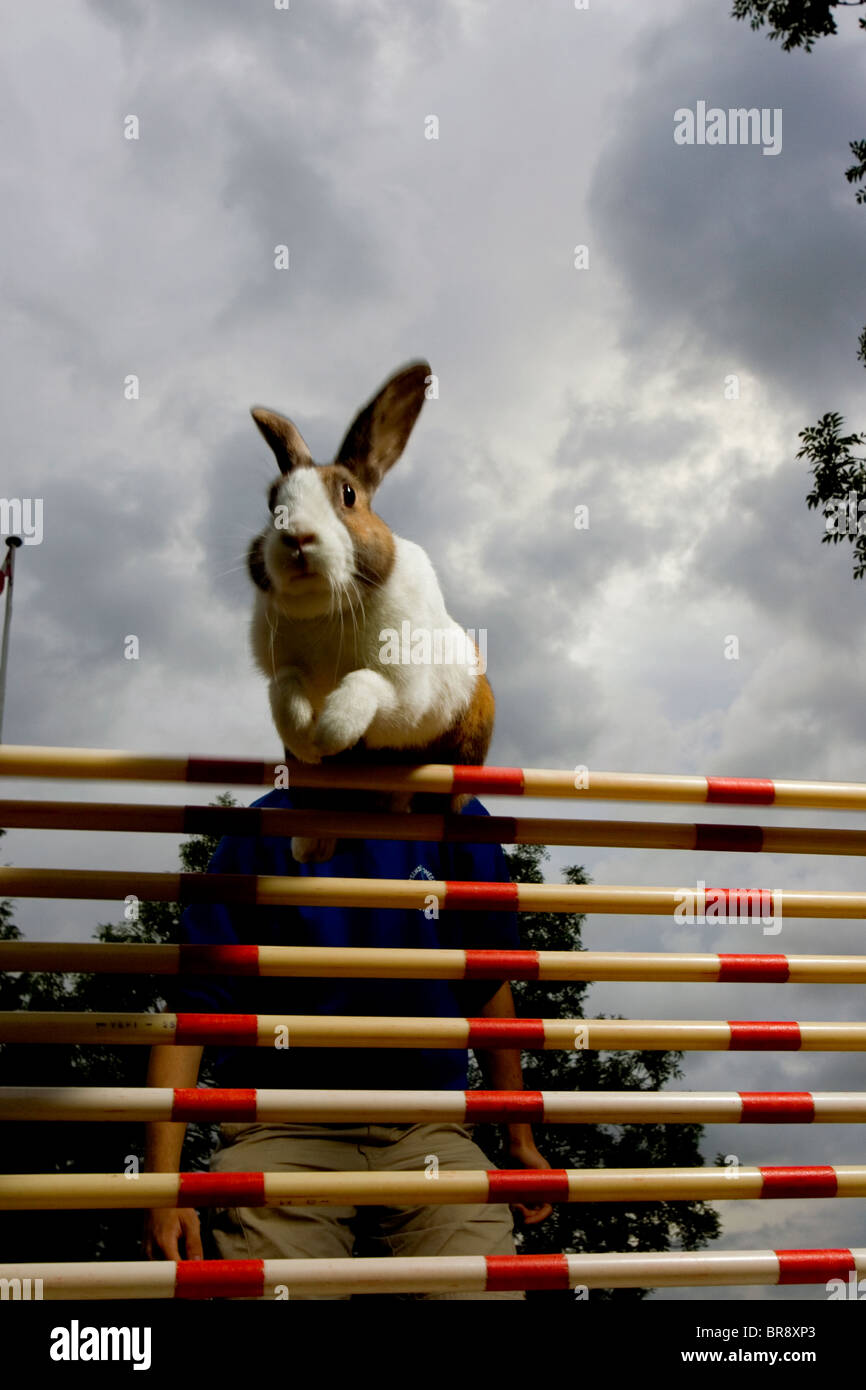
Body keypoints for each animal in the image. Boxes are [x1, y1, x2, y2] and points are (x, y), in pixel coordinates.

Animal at [246, 360, 494, 863]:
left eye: (348, 495)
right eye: (271, 502)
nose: (297, 539)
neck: (326, 611)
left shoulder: (407, 696)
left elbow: (368, 685)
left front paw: (330, 731)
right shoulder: (282, 667)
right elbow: (284, 688)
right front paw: (305, 737)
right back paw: (311, 844)